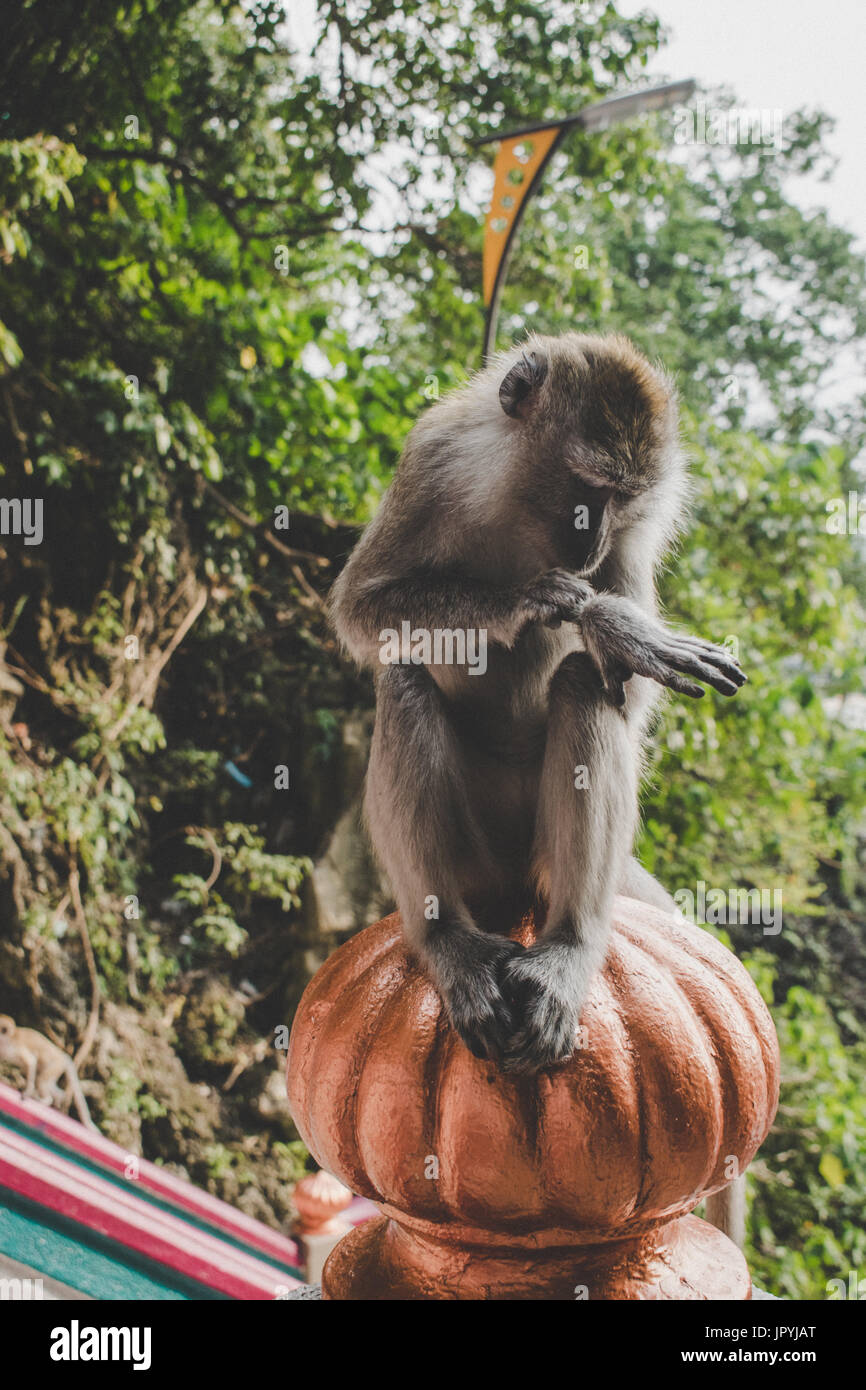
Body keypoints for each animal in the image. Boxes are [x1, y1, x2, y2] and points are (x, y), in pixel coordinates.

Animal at [331, 332, 746, 1074]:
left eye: (622, 497)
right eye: (588, 486)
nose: (592, 542)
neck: (518, 498)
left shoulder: (641, 526)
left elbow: (631, 696)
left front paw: (614, 624)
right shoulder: (434, 458)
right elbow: (361, 606)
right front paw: (545, 603)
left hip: (541, 858)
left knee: (585, 684)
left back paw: (571, 946)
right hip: (476, 862)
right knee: (403, 677)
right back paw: (447, 939)